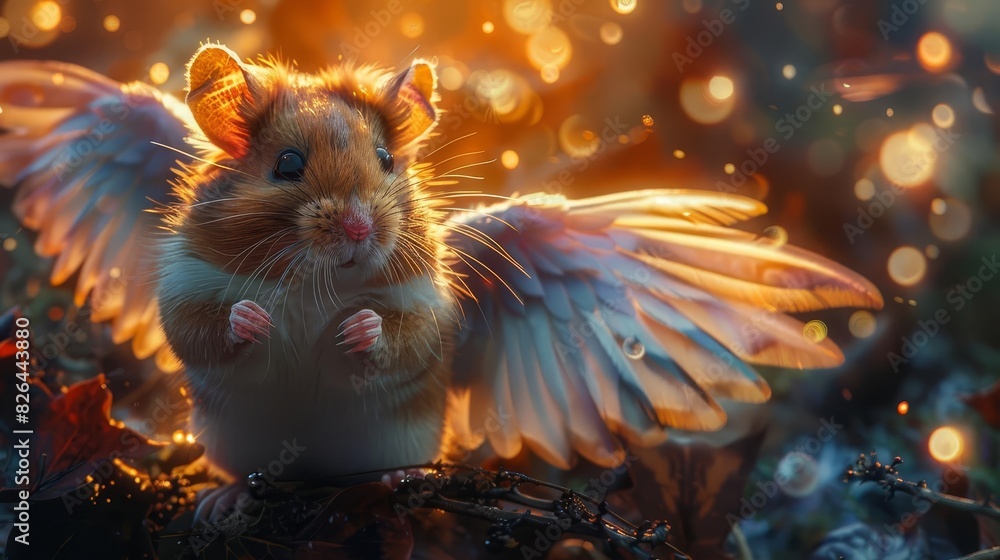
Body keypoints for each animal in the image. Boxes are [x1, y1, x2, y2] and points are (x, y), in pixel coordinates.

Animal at [155, 45, 459, 483]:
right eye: (287, 164)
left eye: (385, 158)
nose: (359, 228)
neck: (313, 284)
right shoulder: (185, 285)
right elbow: (201, 329)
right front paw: (253, 319)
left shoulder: (424, 304)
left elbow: (403, 337)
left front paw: (356, 327)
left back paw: (398, 476)